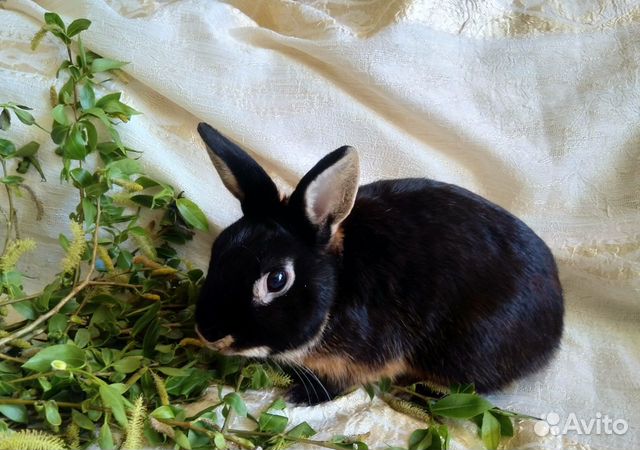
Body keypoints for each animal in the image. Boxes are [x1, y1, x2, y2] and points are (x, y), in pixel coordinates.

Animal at [194, 122, 564, 405]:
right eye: (219, 247)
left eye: (277, 280)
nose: (209, 333)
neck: (339, 285)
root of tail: (555, 320)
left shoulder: (361, 361)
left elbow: (340, 383)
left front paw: (299, 395)